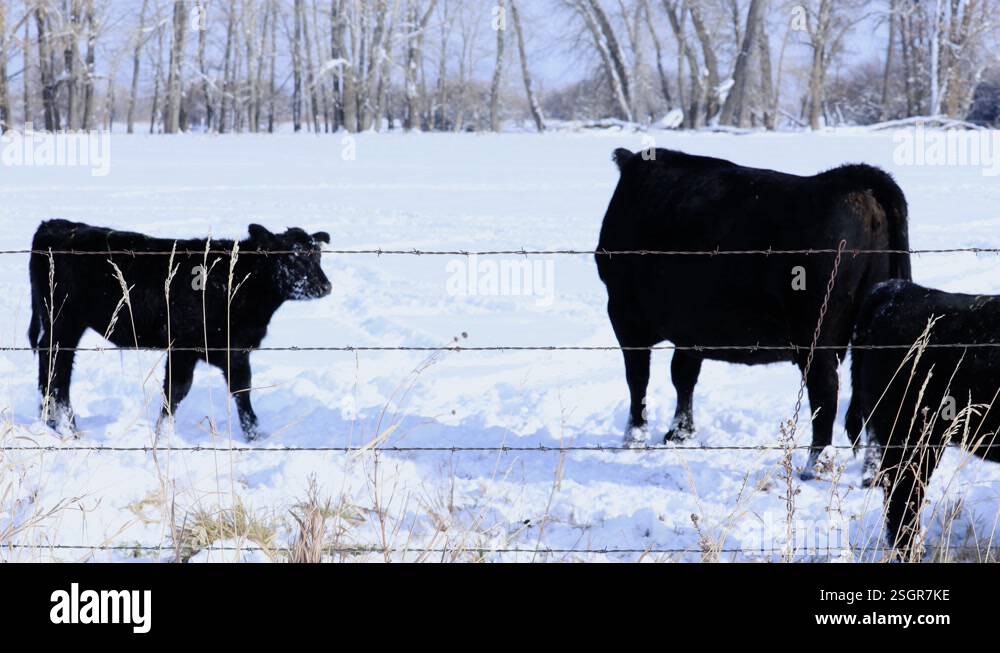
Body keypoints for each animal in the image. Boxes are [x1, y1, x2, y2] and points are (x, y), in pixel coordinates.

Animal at [28, 220, 332, 441]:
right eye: (291, 258)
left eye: (317, 256)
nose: (325, 286)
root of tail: (54, 225)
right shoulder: (183, 347)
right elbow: (176, 391)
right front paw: (164, 435)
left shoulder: (235, 350)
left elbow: (242, 391)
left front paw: (255, 435)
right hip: (63, 322)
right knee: (58, 369)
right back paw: (67, 427)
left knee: (49, 365)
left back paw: (50, 421)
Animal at [596, 148, 912, 480]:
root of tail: (852, 181)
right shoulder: (691, 325)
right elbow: (683, 374)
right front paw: (679, 433)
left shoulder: (624, 313)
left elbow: (638, 377)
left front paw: (634, 437)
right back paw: (873, 470)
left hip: (815, 331)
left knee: (825, 391)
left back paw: (814, 466)